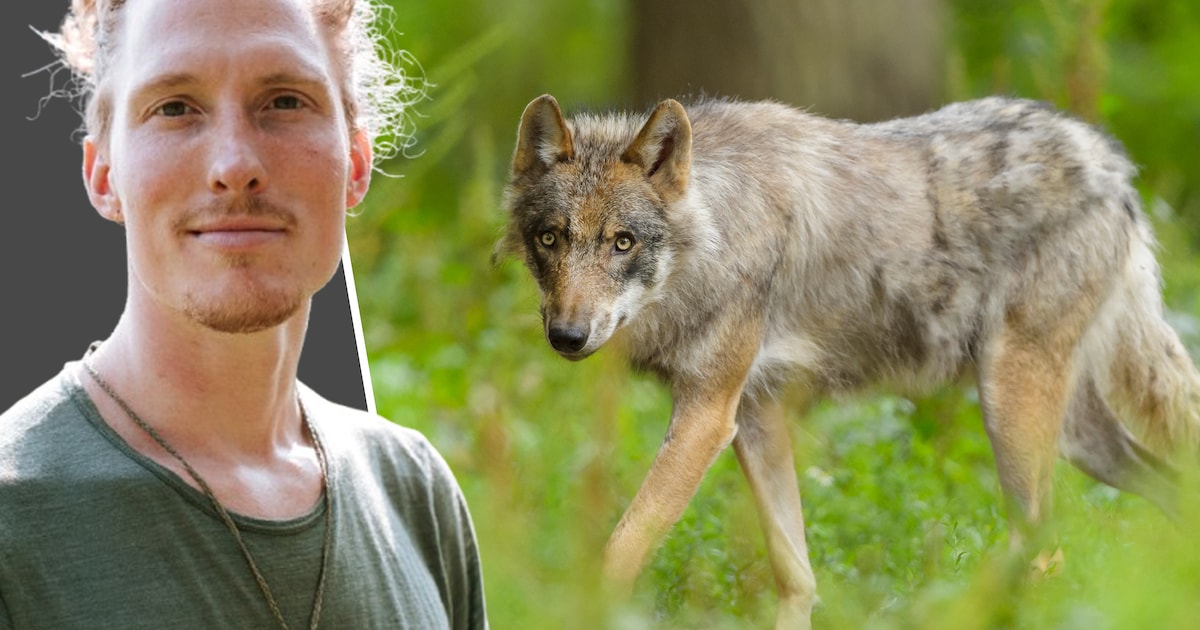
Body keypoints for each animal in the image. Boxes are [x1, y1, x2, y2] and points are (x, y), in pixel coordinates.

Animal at [497, 93, 1200, 628]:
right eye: (550, 239)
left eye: (622, 243)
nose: (567, 335)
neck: (716, 233)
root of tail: (1106, 160)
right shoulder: (754, 417)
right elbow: (796, 574)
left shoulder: (707, 416)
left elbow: (621, 549)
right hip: (1078, 437)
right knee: (1164, 489)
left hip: (1013, 417)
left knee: (1049, 550)